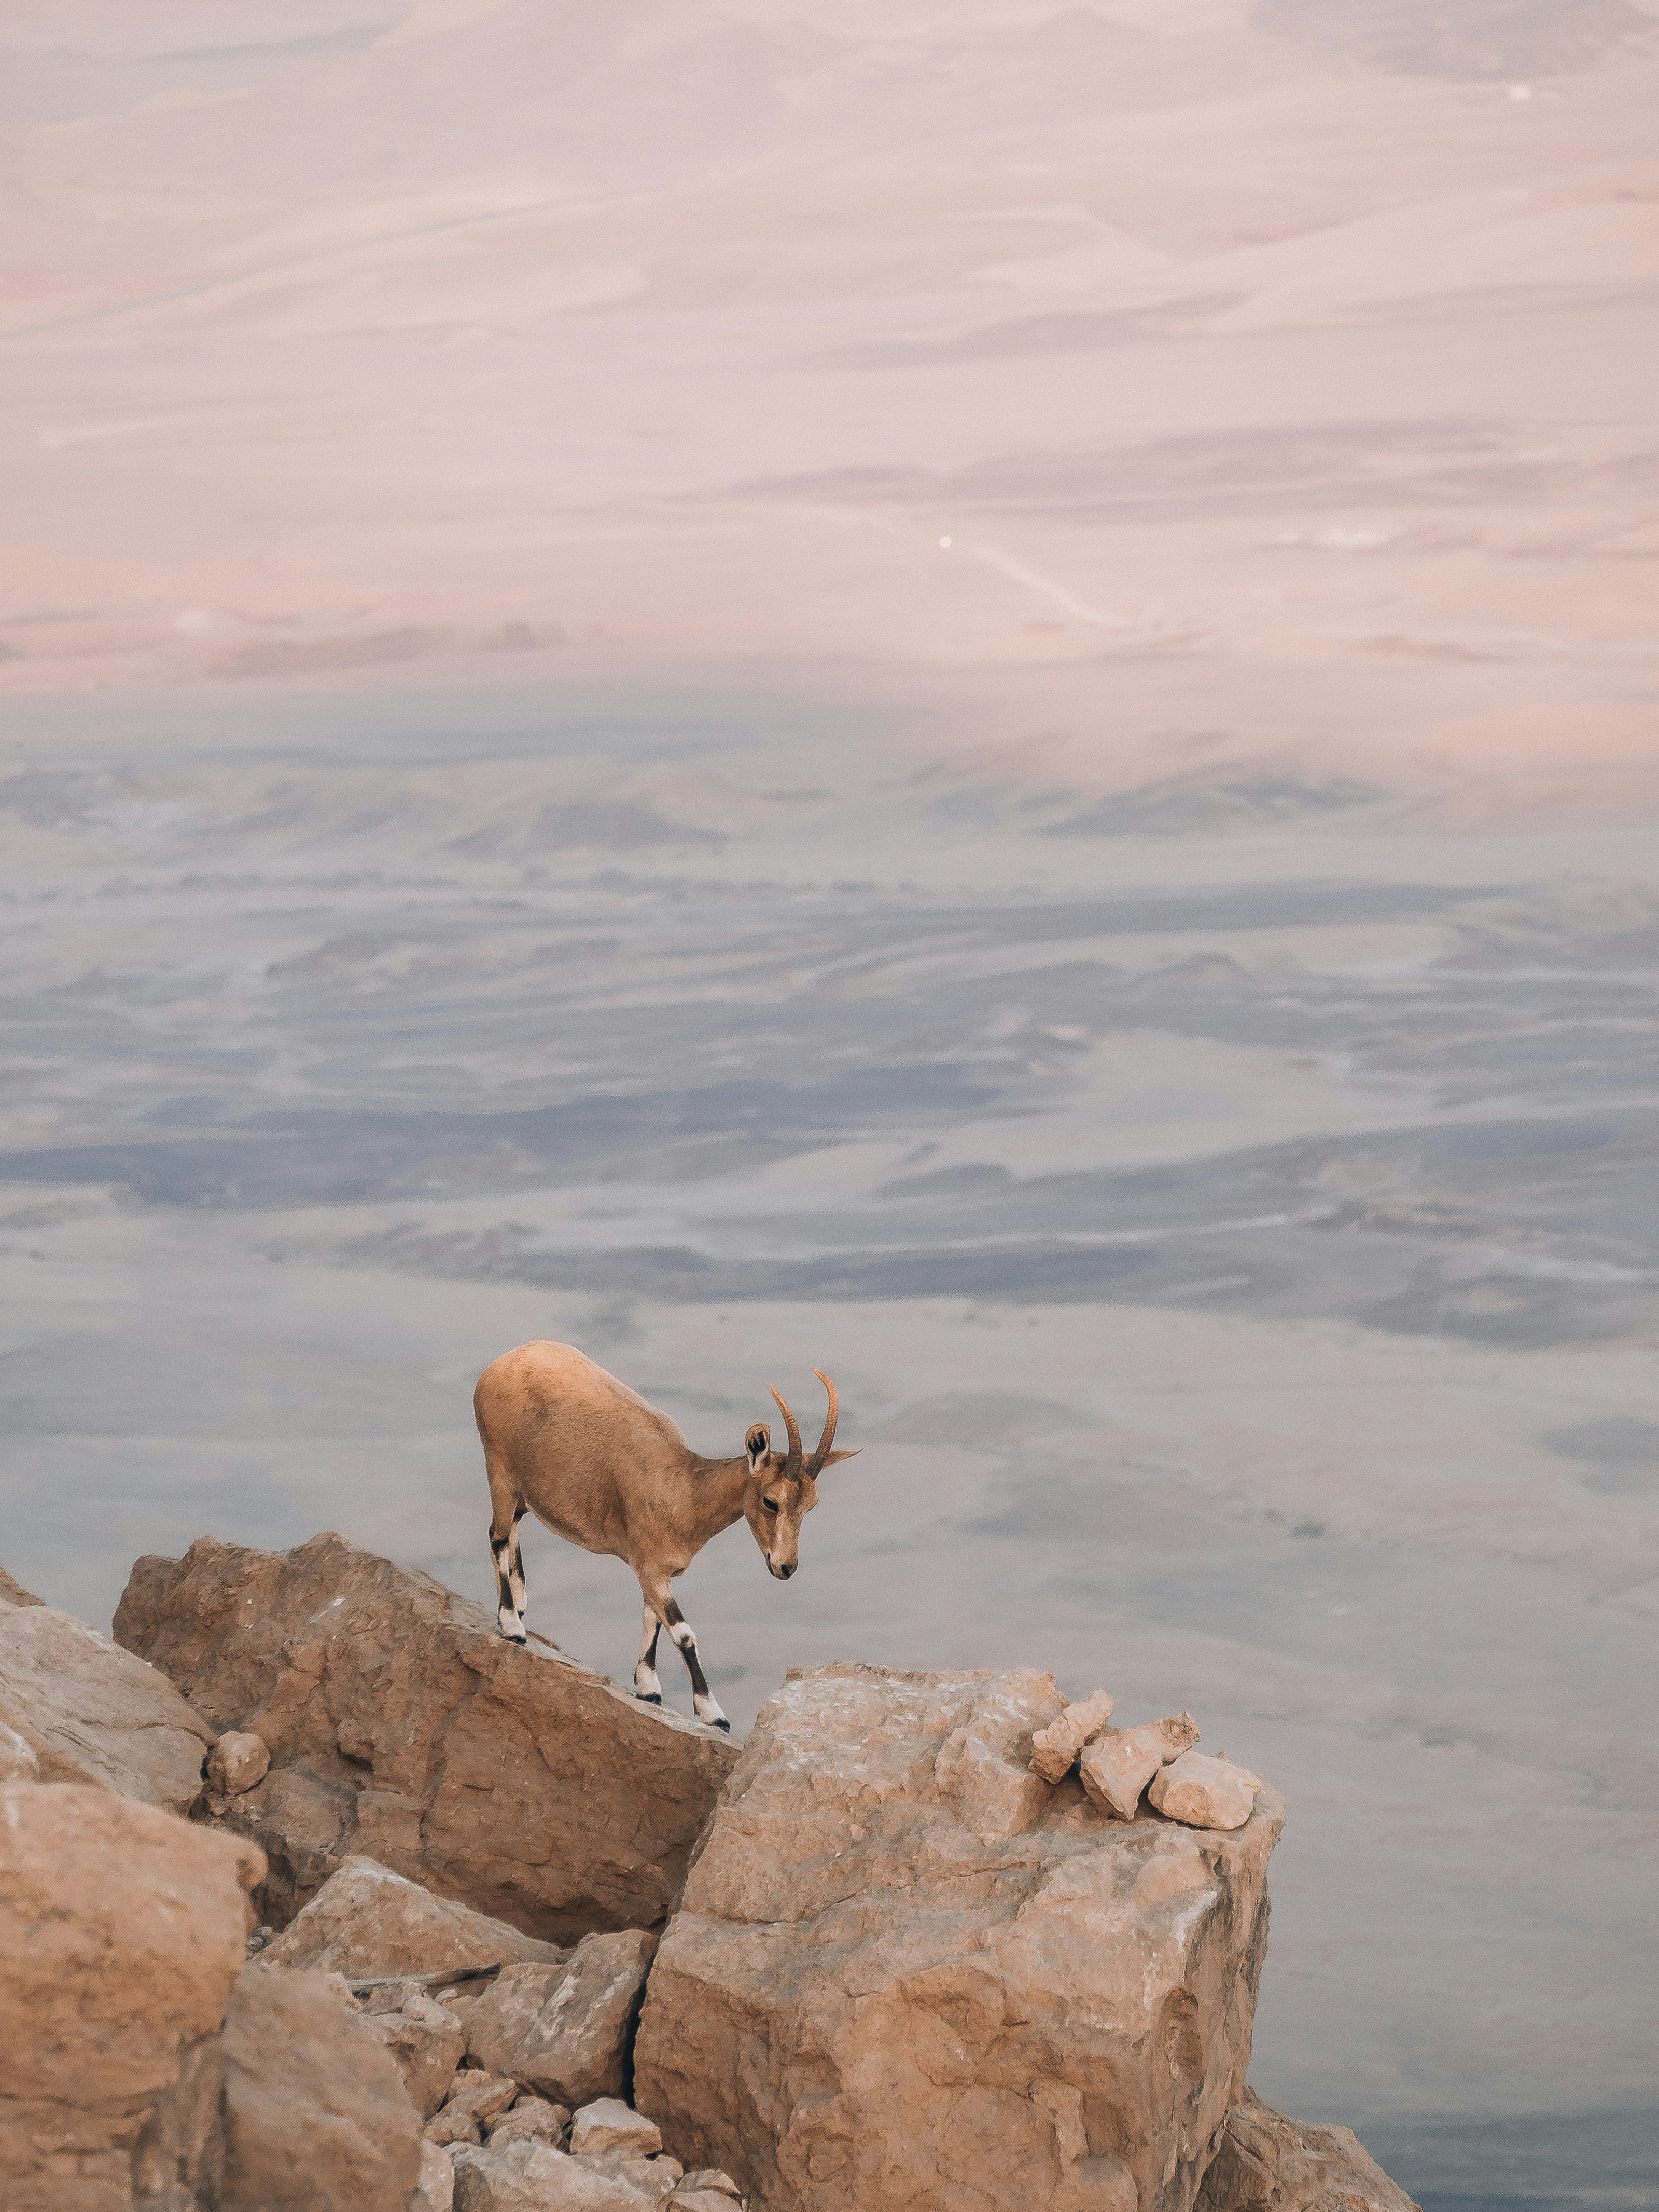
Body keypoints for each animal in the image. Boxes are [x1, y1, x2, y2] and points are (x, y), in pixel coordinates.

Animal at [474, 1340, 857, 1731]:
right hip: (500, 1471)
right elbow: (683, 1632)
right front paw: (713, 1712)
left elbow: (651, 1617)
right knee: (497, 1536)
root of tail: (507, 1360)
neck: (682, 1491)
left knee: (513, 1526)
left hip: (523, 1489)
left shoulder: (657, 1573)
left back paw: (521, 1603)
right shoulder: (651, 1569)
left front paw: (648, 1688)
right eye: (771, 1501)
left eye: (810, 1505)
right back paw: (511, 1624)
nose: (786, 1567)